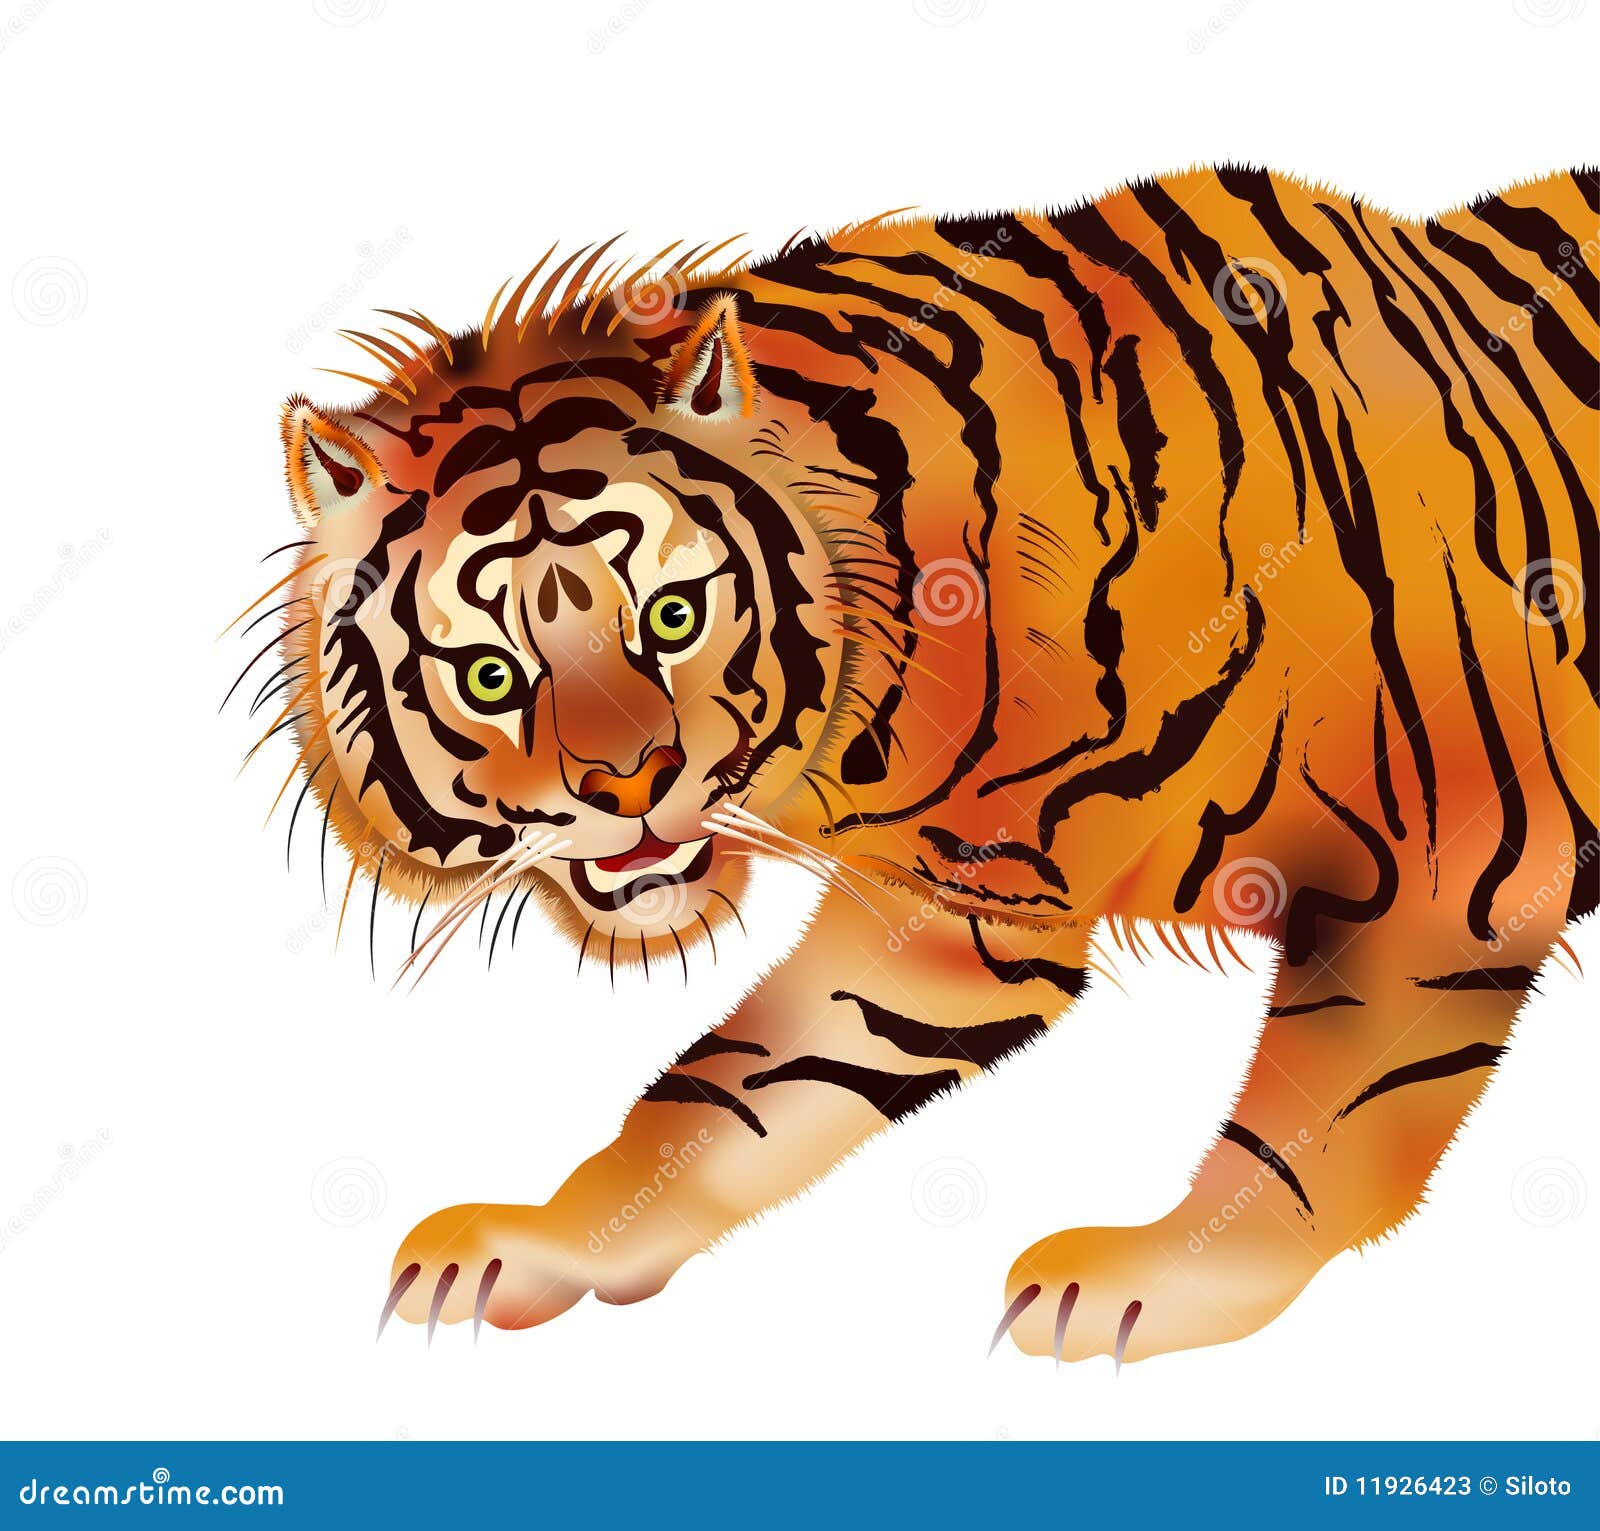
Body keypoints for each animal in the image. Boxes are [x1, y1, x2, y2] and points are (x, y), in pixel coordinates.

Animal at [231, 165, 1598, 1366]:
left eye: (671, 617)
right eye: (492, 677)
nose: (627, 785)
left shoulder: (1455, 870)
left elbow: (1321, 1125)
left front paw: (1163, 1281)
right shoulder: (947, 922)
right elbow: (730, 1095)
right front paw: (553, 1240)